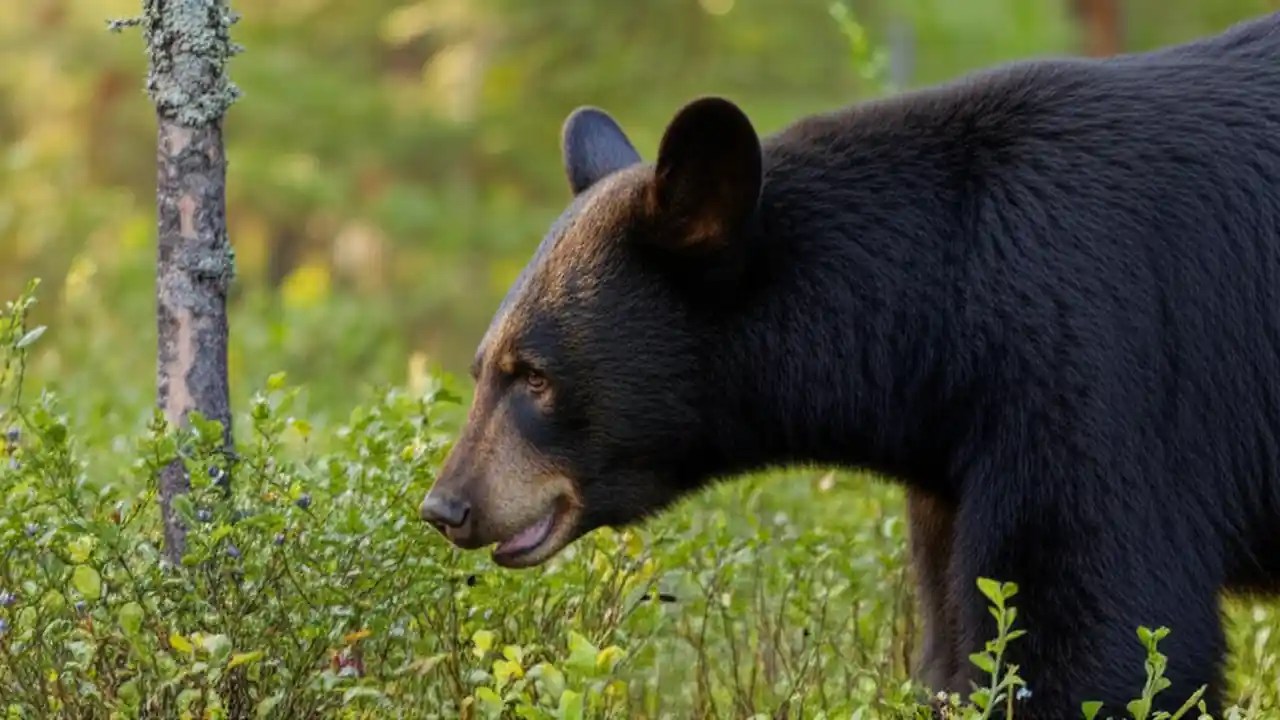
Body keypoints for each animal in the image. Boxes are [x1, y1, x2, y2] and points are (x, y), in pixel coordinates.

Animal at [419, 12, 1280, 718]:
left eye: (534, 374)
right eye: (481, 367)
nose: (447, 505)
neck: (945, 309)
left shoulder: (1098, 363)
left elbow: (1098, 628)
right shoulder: (955, 461)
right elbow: (960, 633)